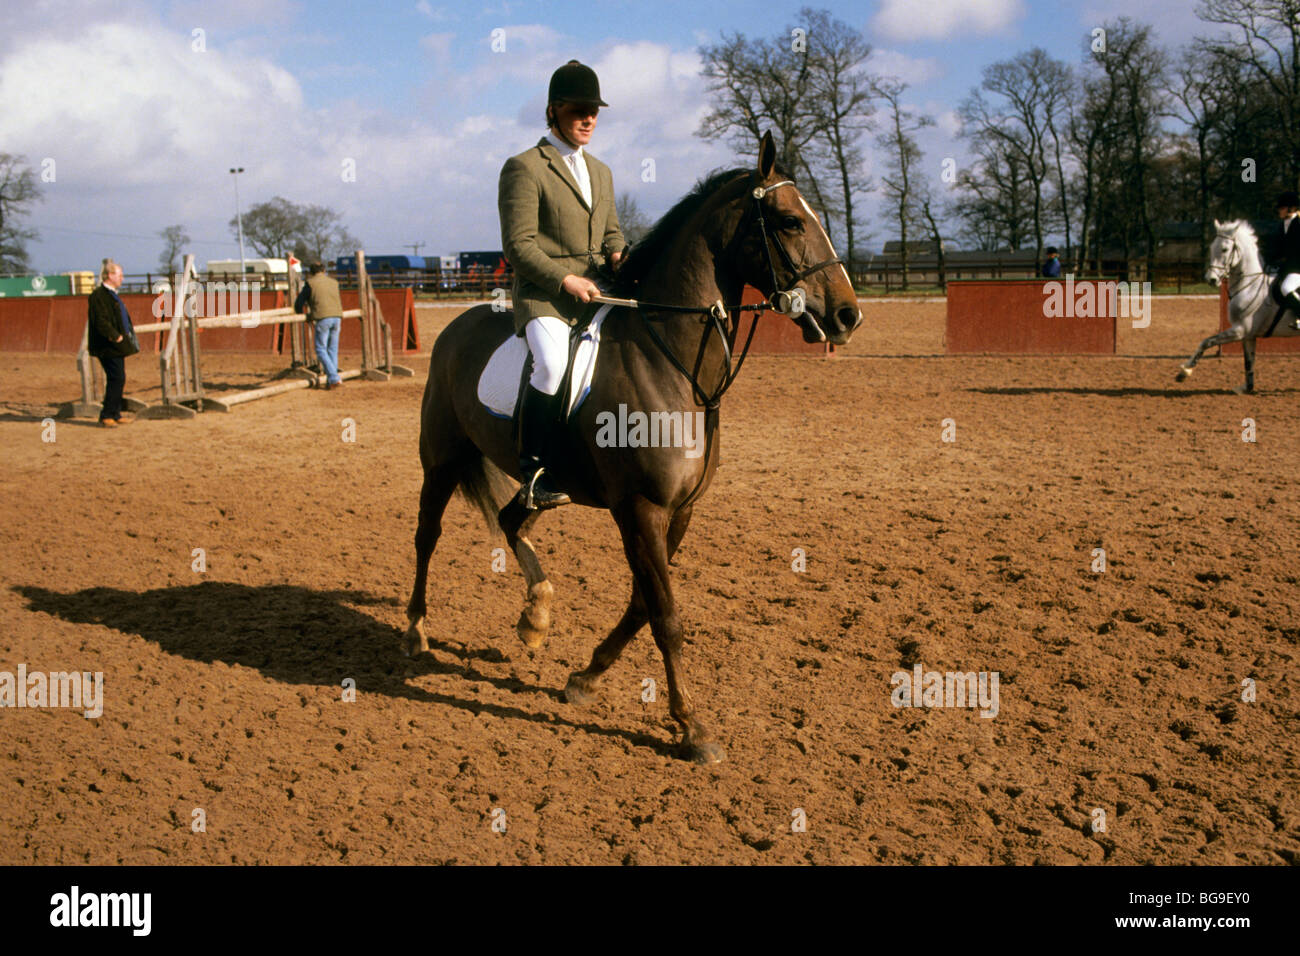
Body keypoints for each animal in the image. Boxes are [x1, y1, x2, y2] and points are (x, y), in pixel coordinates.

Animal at [404, 132, 861, 764]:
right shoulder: (640, 509)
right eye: (790, 221)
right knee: (427, 536)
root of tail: (455, 326)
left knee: (511, 519)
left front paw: (585, 677)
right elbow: (666, 614)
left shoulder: (679, 510)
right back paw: (416, 631)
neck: (673, 364)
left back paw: (535, 616)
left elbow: (645, 603)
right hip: (441, 461)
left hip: (538, 483)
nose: (847, 315)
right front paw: (693, 728)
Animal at [1175, 218, 1300, 393]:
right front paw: (1247, 388)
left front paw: (1185, 371)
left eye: (1225, 249)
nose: (1211, 279)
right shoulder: (1248, 336)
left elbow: (1206, 341)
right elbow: (1248, 362)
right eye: (1212, 247)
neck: (1249, 285)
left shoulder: (1239, 330)